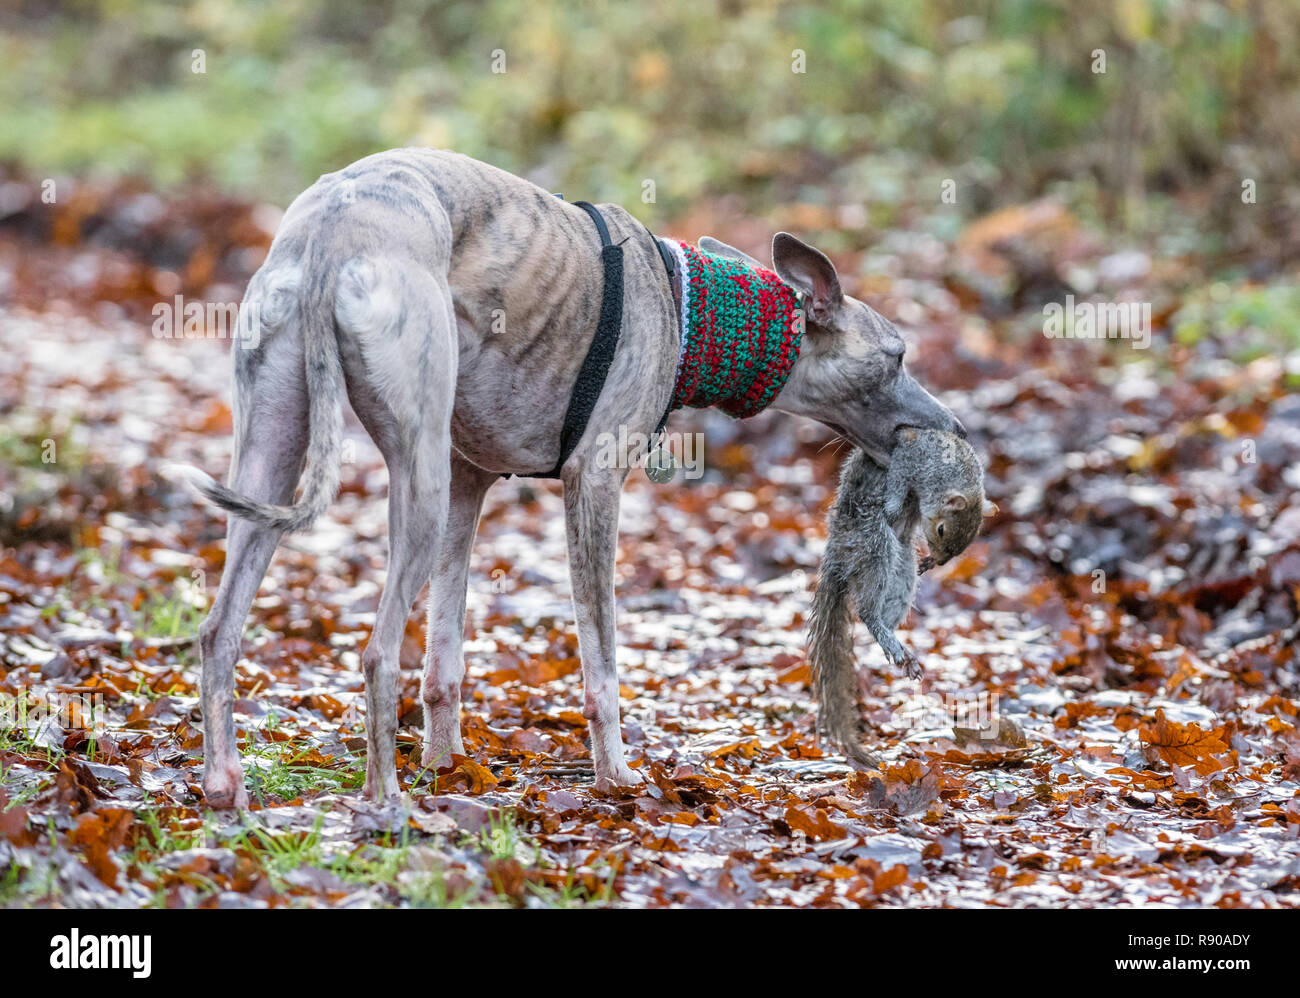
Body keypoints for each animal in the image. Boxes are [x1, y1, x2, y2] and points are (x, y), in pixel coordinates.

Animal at [806, 428, 986, 769]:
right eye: (941, 529)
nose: (938, 562)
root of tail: (837, 555)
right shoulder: (908, 455)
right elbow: (898, 481)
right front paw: (892, 504)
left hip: (903, 568)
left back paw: (901, 649)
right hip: (875, 544)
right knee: (866, 610)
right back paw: (886, 635)